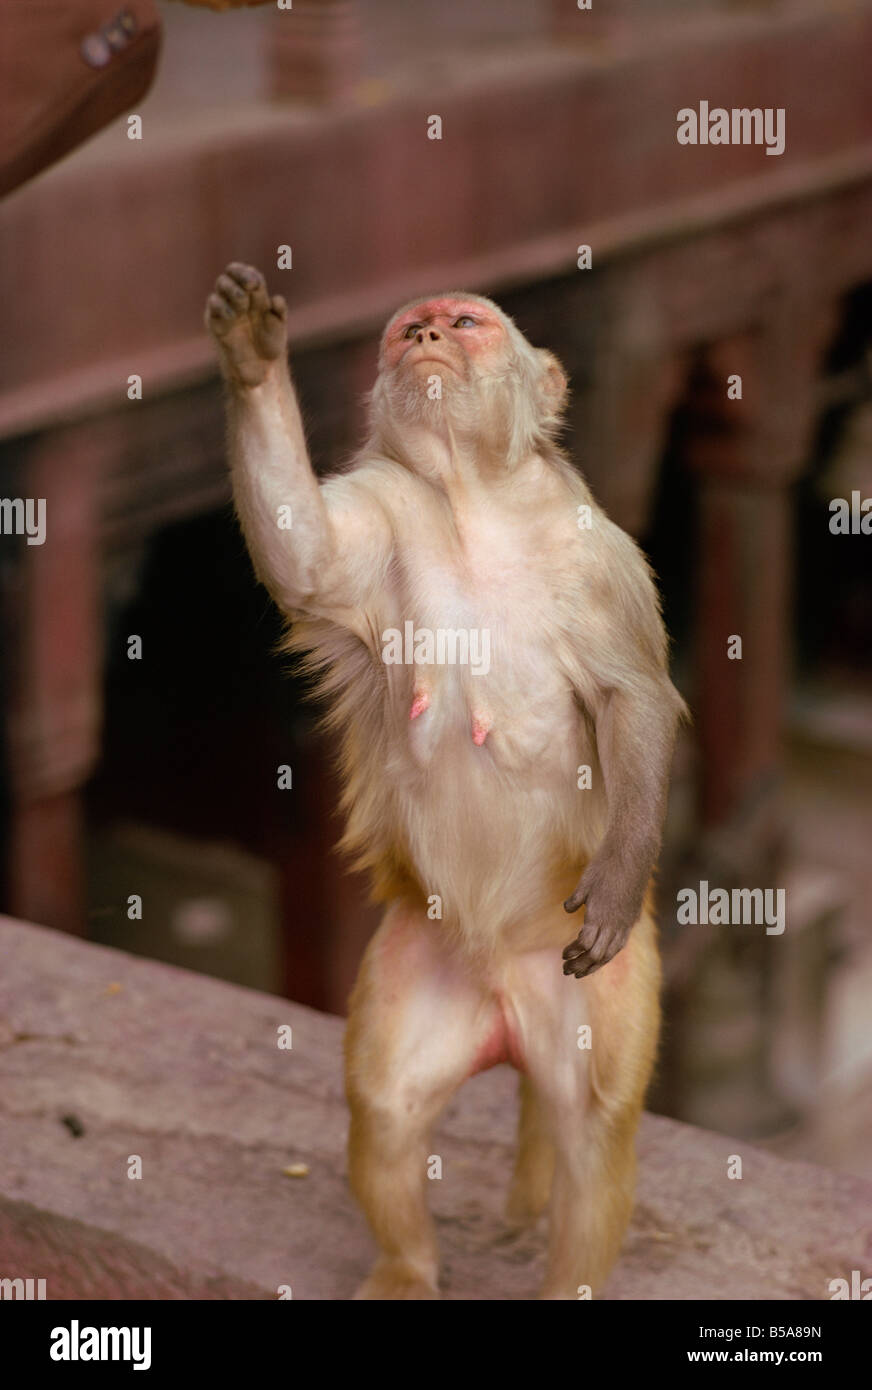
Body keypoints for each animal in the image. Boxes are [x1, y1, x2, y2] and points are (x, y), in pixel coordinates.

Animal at [206, 262, 687, 1300]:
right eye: (410, 329)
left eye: (463, 324)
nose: (426, 339)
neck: (476, 505)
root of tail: (502, 984)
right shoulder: (387, 508)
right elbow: (306, 558)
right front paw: (252, 356)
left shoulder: (604, 558)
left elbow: (634, 699)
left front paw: (619, 873)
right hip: (420, 959)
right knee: (388, 1105)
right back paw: (407, 1268)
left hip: (584, 991)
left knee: (590, 1129)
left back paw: (568, 1275)